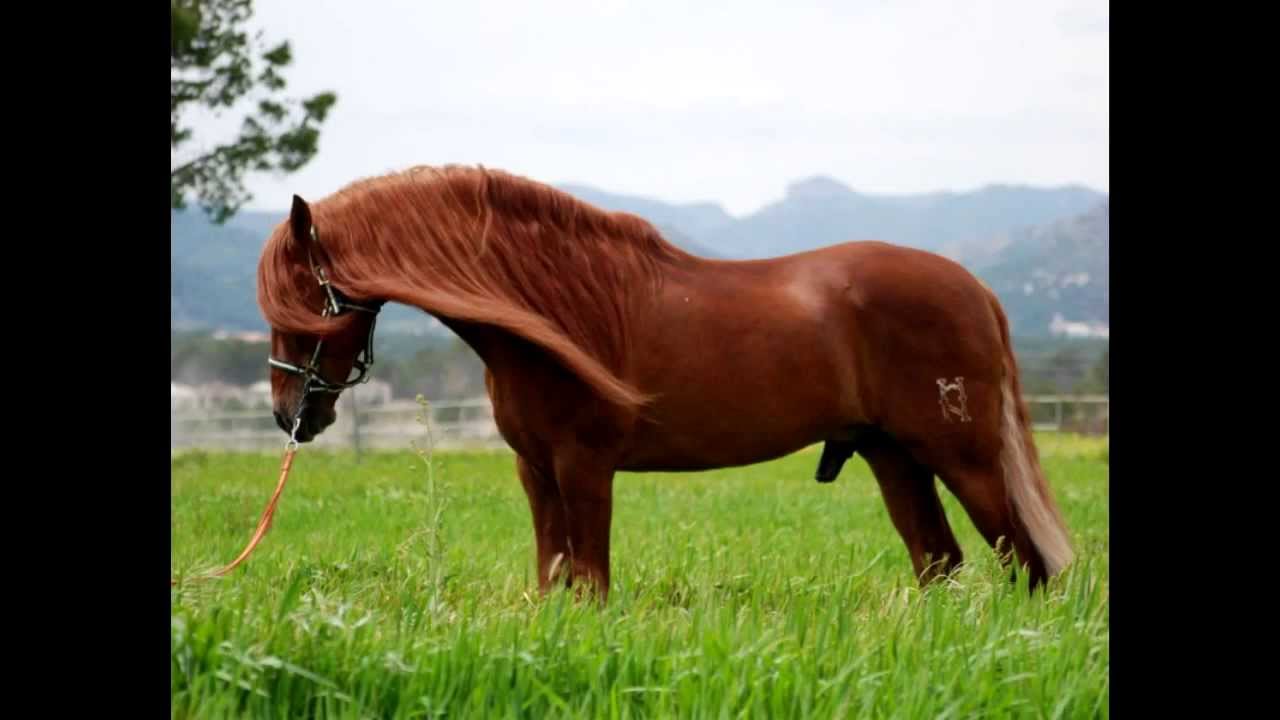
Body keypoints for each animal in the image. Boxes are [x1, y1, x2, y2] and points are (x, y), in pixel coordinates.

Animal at [256, 164, 1074, 602]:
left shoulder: (584, 466)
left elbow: (591, 580)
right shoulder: (535, 470)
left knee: (1025, 562)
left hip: (963, 458)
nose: (289, 415)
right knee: (941, 561)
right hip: (893, 457)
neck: (560, 310)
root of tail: (977, 289)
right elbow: (554, 576)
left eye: (304, 303)